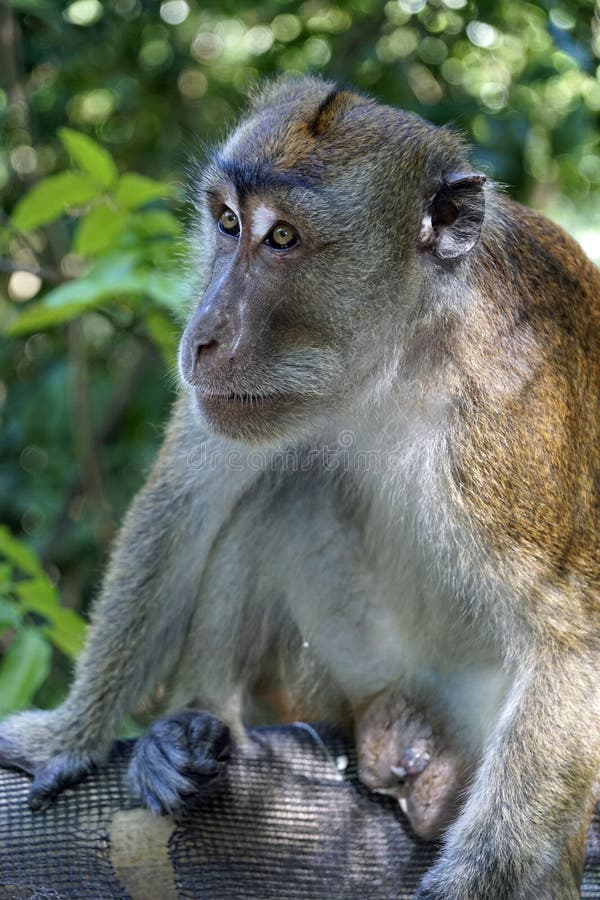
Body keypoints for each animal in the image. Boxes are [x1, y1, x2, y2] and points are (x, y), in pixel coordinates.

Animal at [0, 75, 598, 899]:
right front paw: (68, 736)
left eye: (282, 238)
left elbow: (568, 638)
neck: (399, 356)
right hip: (349, 680)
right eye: (227, 223)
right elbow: (185, 505)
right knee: (279, 494)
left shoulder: (509, 419)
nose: (202, 335)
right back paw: (195, 729)